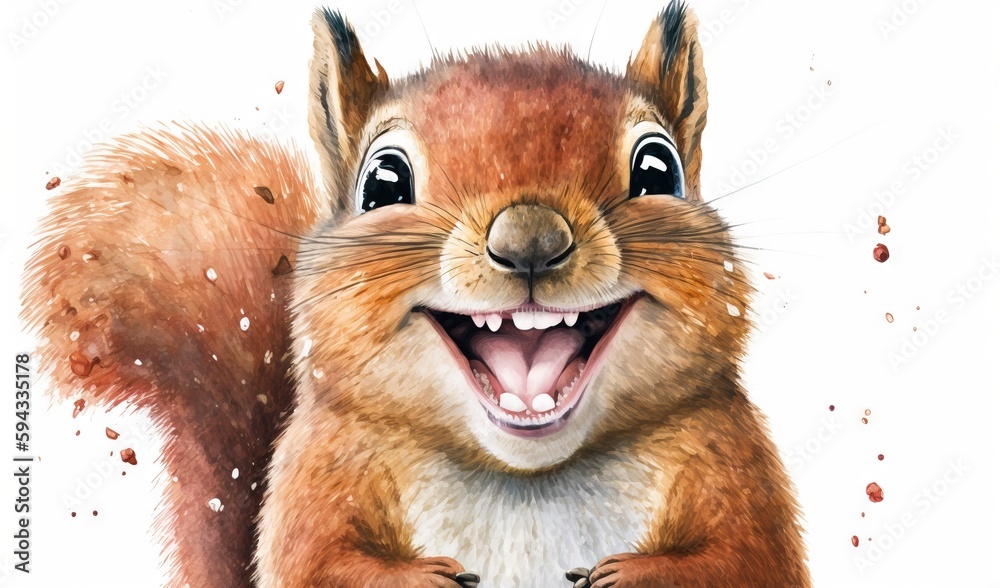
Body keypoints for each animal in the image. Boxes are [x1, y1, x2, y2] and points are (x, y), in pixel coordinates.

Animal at [22, 3, 809, 587]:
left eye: (658, 168)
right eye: (383, 181)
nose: (530, 240)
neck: (523, 477)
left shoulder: (734, 462)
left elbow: (745, 561)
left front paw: (632, 574)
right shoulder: (315, 472)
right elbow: (320, 567)